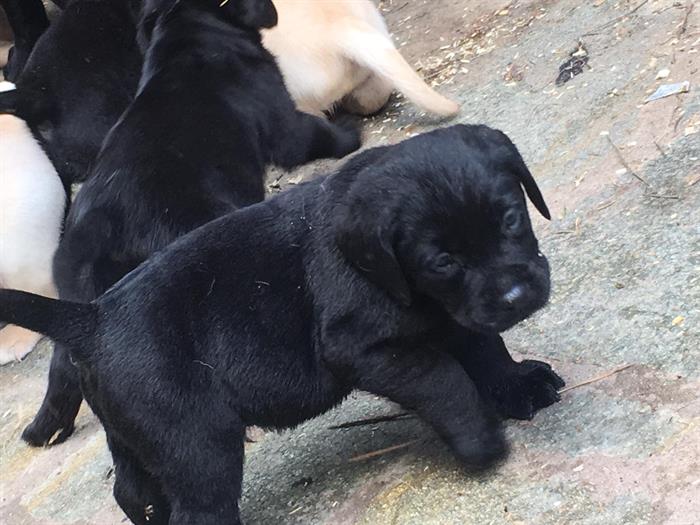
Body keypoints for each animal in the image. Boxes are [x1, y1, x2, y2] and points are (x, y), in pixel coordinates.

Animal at [21, 0, 360, 448]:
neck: (185, 30)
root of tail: (95, 225)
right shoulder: (286, 122)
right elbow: (319, 135)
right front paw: (352, 133)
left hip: (80, 293)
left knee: (62, 366)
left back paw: (45, 429)